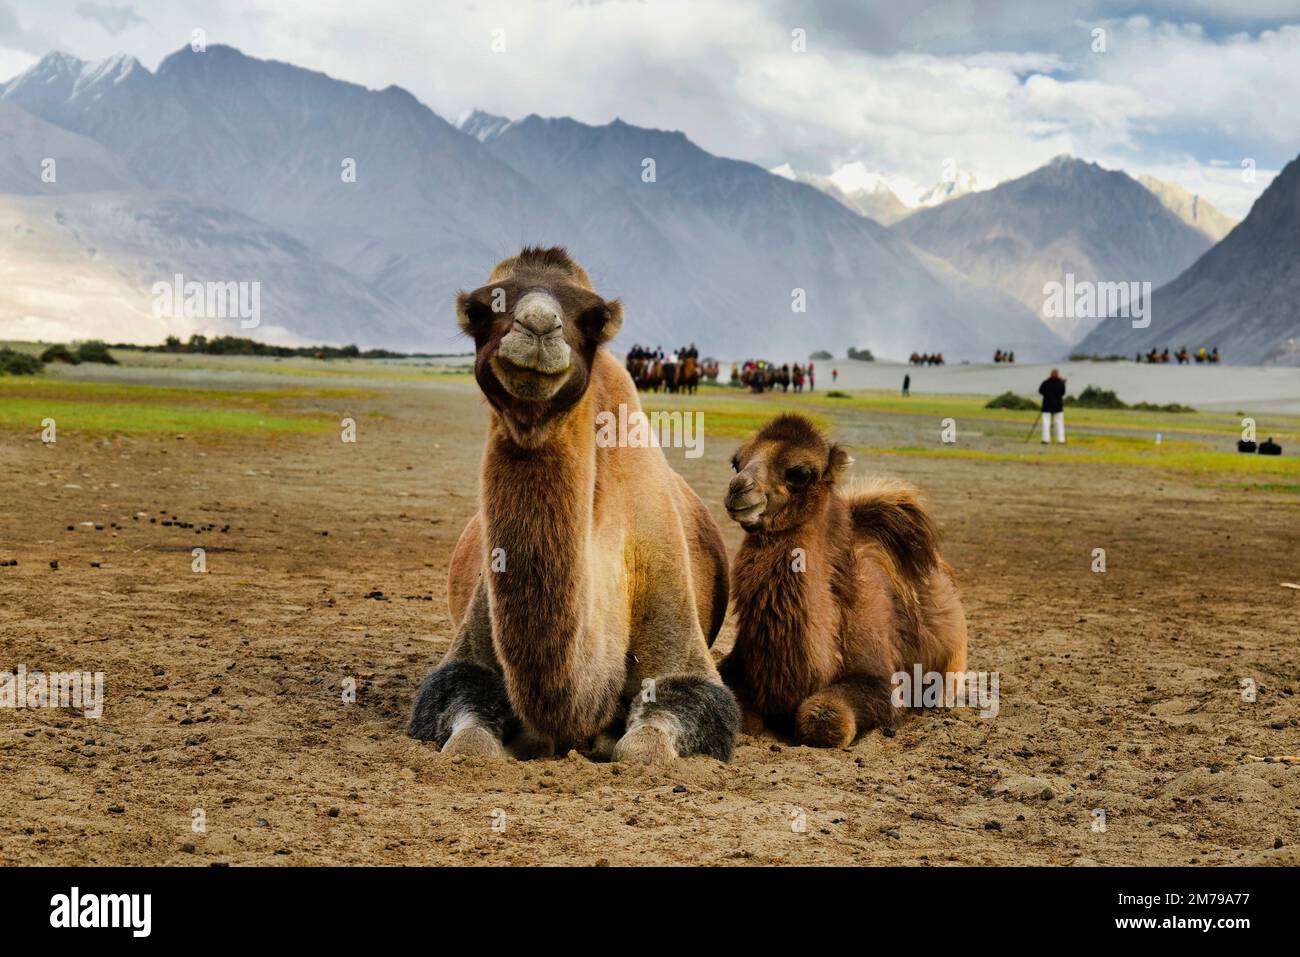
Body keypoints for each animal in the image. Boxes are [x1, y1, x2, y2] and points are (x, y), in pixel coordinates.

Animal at [409, 247, 737, 763]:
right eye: (480, 310)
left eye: (595, 317)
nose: (539, 325)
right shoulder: (466, 658)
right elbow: (469, 741)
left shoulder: (682, 651)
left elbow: (644, 745)